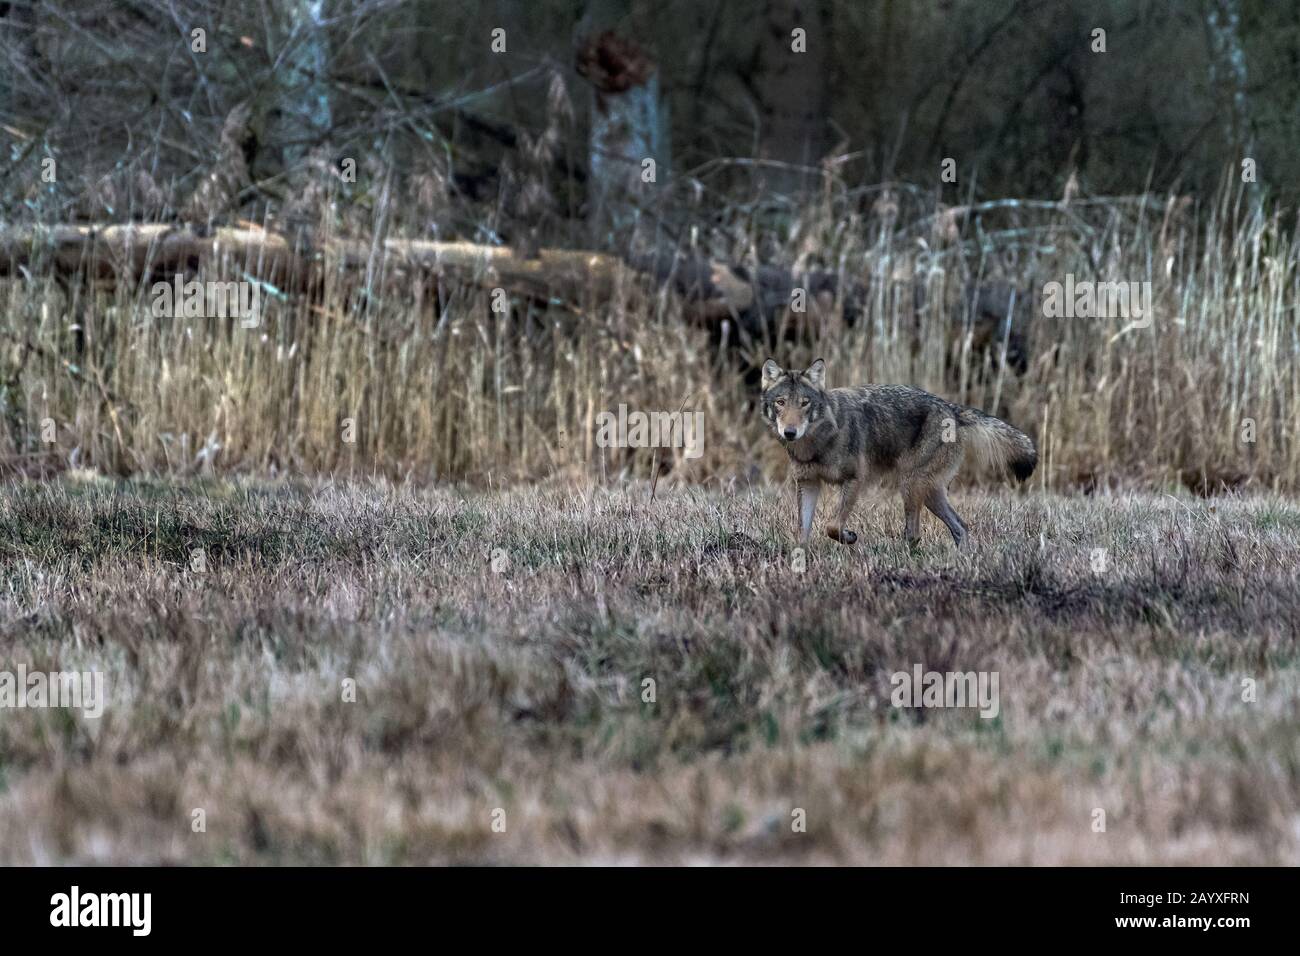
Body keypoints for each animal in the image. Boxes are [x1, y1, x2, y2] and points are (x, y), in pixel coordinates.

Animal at [760, 358, 1036, 547]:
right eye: (781, 402)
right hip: (929, 493)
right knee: (961, 527)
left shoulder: (854, 480)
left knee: (915, 535)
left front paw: (849, 536)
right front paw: (800, 558)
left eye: (804, 403)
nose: (790, 432)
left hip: (911, 485)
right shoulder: (808, 483)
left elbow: (832, 526)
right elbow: (802, 531)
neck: (816, 444)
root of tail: (951, 409)